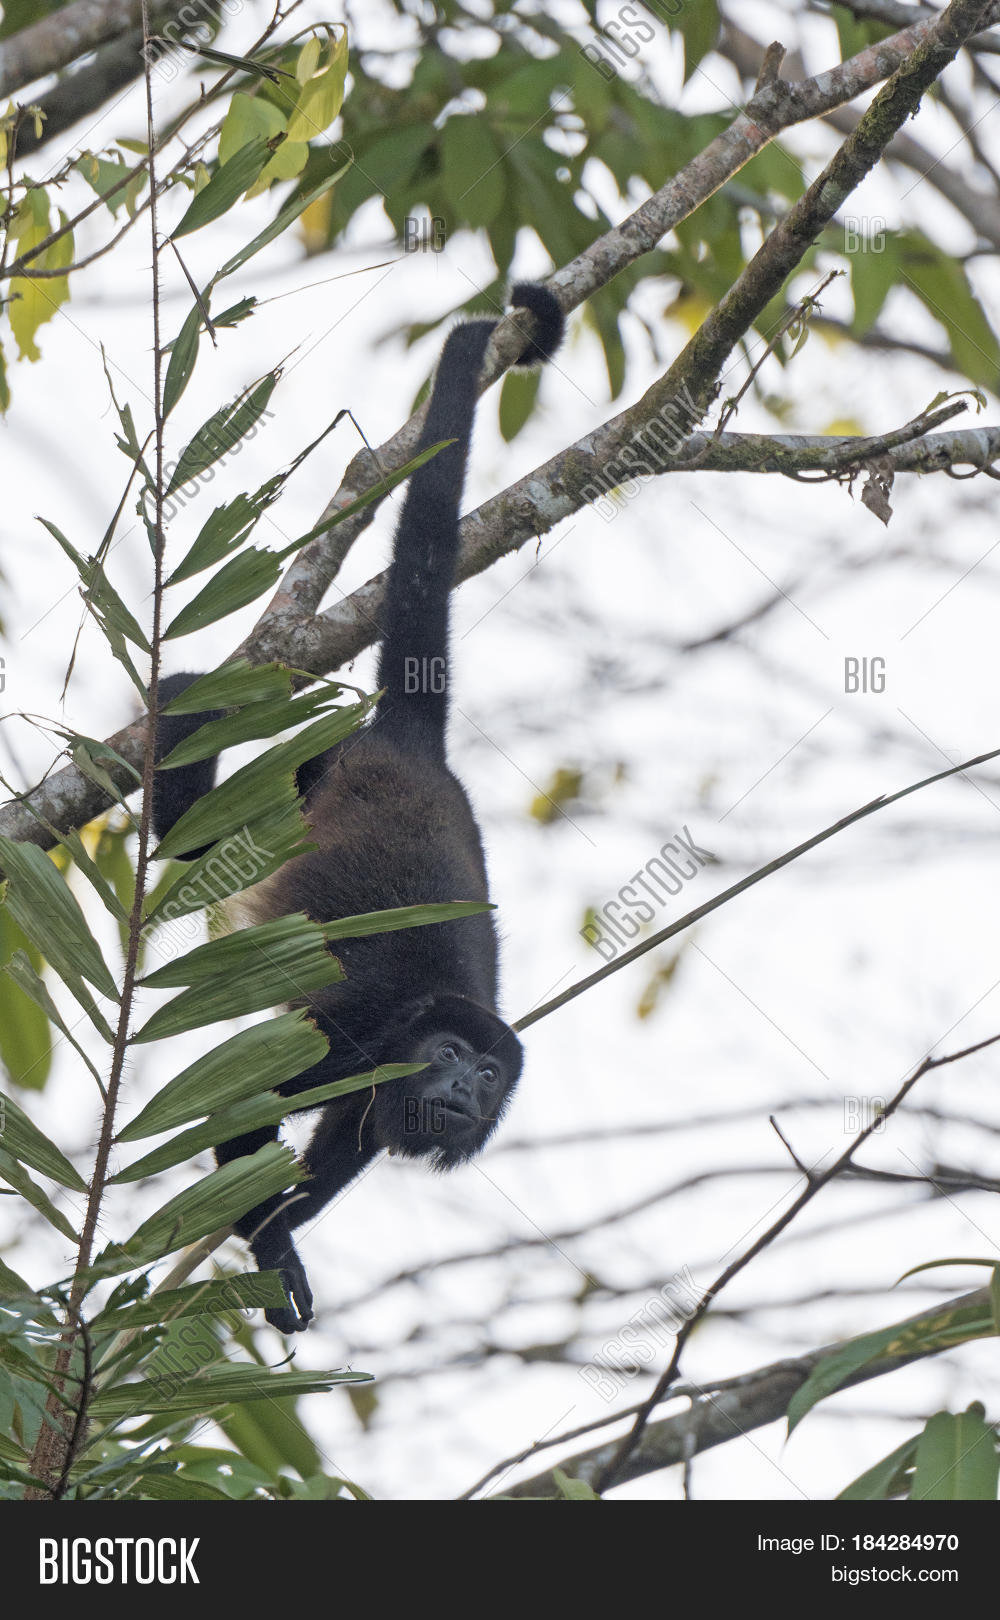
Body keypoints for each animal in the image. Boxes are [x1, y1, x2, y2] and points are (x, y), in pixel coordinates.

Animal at [151, 283, 565, 1332]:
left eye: (488, 1074)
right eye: (450, 1053)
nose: (461, 1086)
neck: (422, 1017)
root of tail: (411, 746)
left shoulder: (378, 1080)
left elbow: (354, 1139)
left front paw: (282, 1230)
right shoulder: (355, 1033)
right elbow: (243, 1105)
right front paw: (271, 1247)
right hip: (319, 760)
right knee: (199, 814)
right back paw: (184, 701)